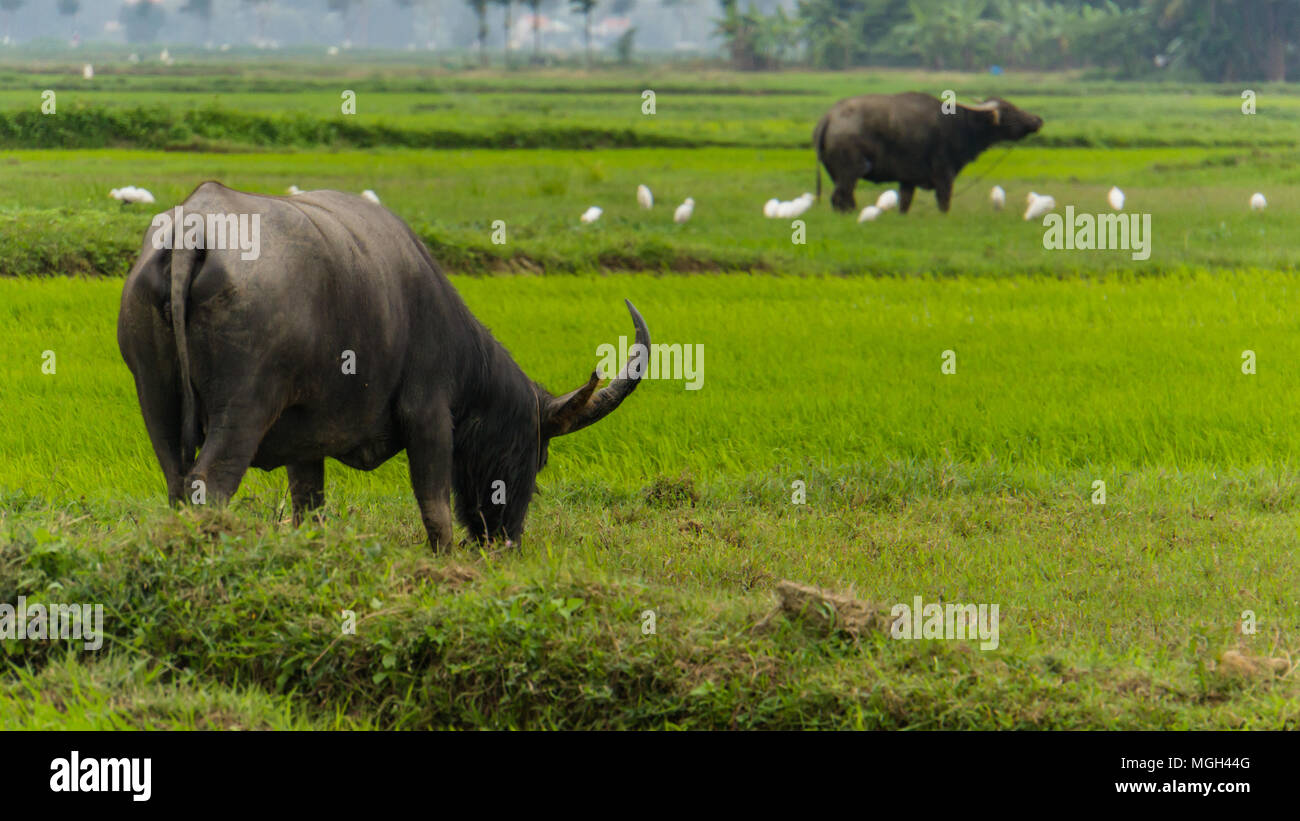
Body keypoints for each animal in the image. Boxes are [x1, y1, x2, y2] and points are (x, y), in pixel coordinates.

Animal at [117, 182, 649, 550]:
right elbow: (434, 505)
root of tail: (193, 229)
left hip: (154, 399)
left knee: (176, 484)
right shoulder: (429, 414)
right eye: (539, 458)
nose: (505, 541)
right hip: (246, 406)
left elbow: (309, 507)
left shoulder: (305, 443)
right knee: (209, 485)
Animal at [813, 92, 1043, 214]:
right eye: (1010, 110)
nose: (1037, 120)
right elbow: (944, 202)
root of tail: (829, 117)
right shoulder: (944, 175)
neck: (959, 124)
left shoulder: (907, 180)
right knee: (841, 198)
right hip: (850, 173)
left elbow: (904, 204)